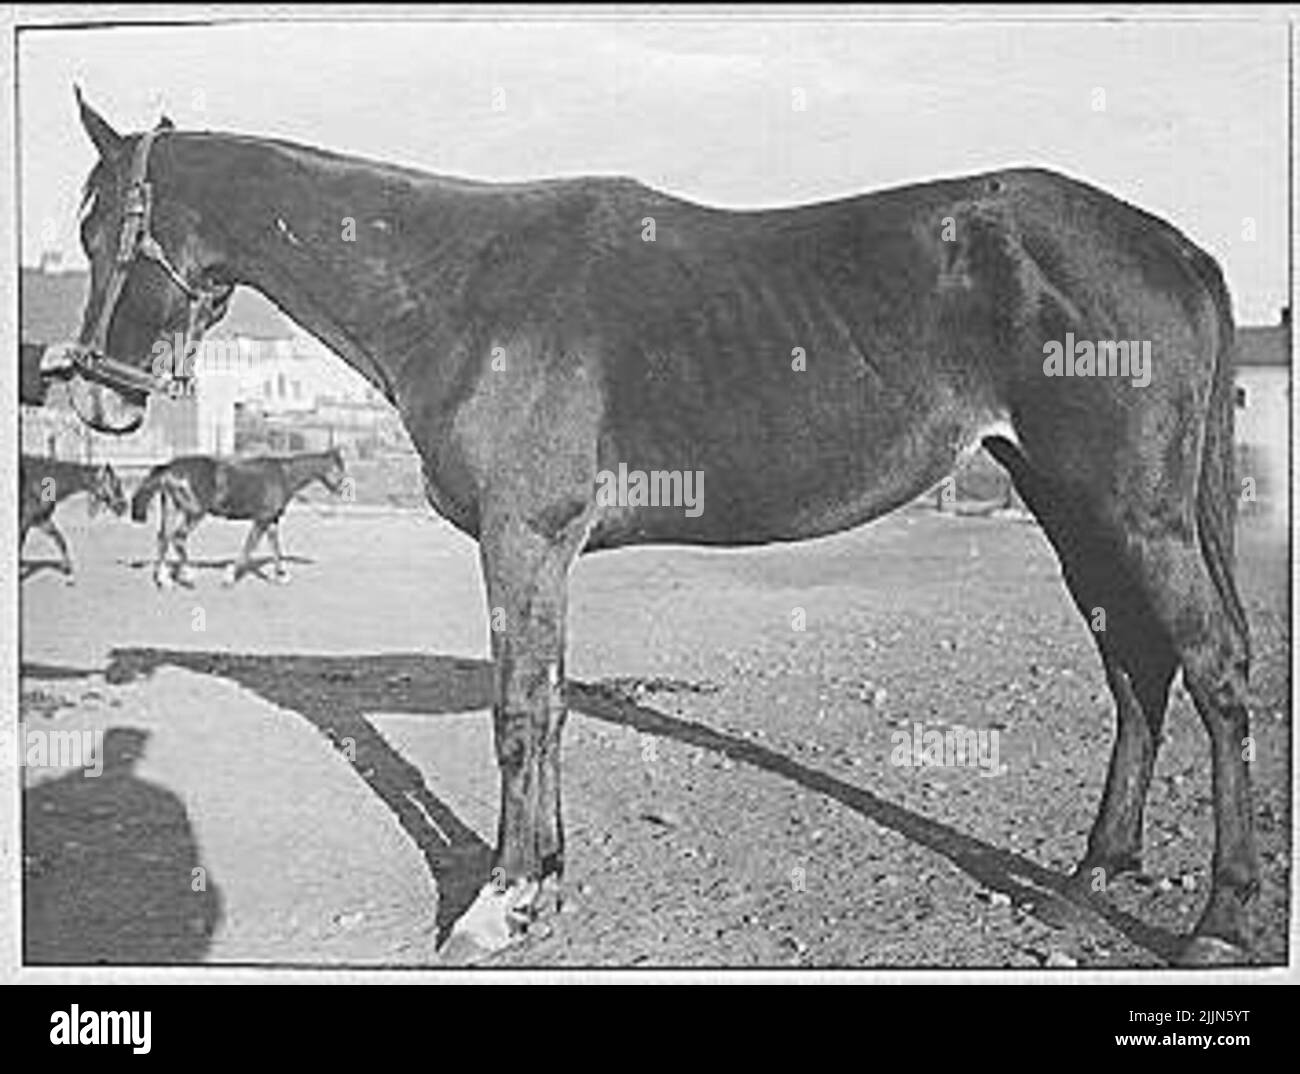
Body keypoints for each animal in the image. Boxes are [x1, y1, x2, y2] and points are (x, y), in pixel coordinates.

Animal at [129, 449, 347, 587]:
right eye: (338, 469)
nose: (342, 490)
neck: (283, 475)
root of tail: (170, 468)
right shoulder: (262, 519)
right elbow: (249, 547)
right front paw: (229, 578)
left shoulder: (271, 520)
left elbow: (276, 548)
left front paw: (282, 576)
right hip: (194, 513)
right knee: (178, 538)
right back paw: (188, 578)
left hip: (174, 511)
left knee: (163, 538)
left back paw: (163, 580)